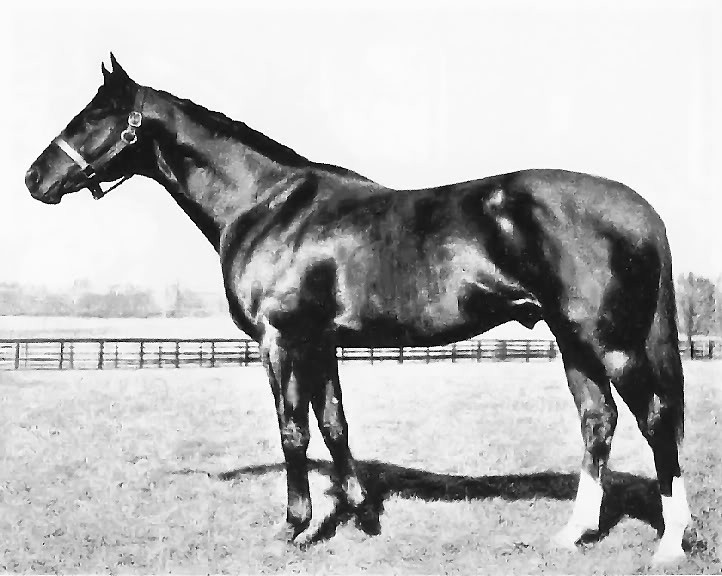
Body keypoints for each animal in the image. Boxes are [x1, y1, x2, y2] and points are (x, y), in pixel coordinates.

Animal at [25, 55, 691, 563]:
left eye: (93, 117)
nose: (34, 179)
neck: (268, 206)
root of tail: (640, 208)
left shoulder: (281, 338)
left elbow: (293, 430)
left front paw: (296, 526)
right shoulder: (320, 341)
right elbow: (334, 423)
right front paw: (358, 512)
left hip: (612, 343)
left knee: (656, 420)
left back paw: (670, 543)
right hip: (572, 340)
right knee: (597, 422)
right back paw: (572, 532)